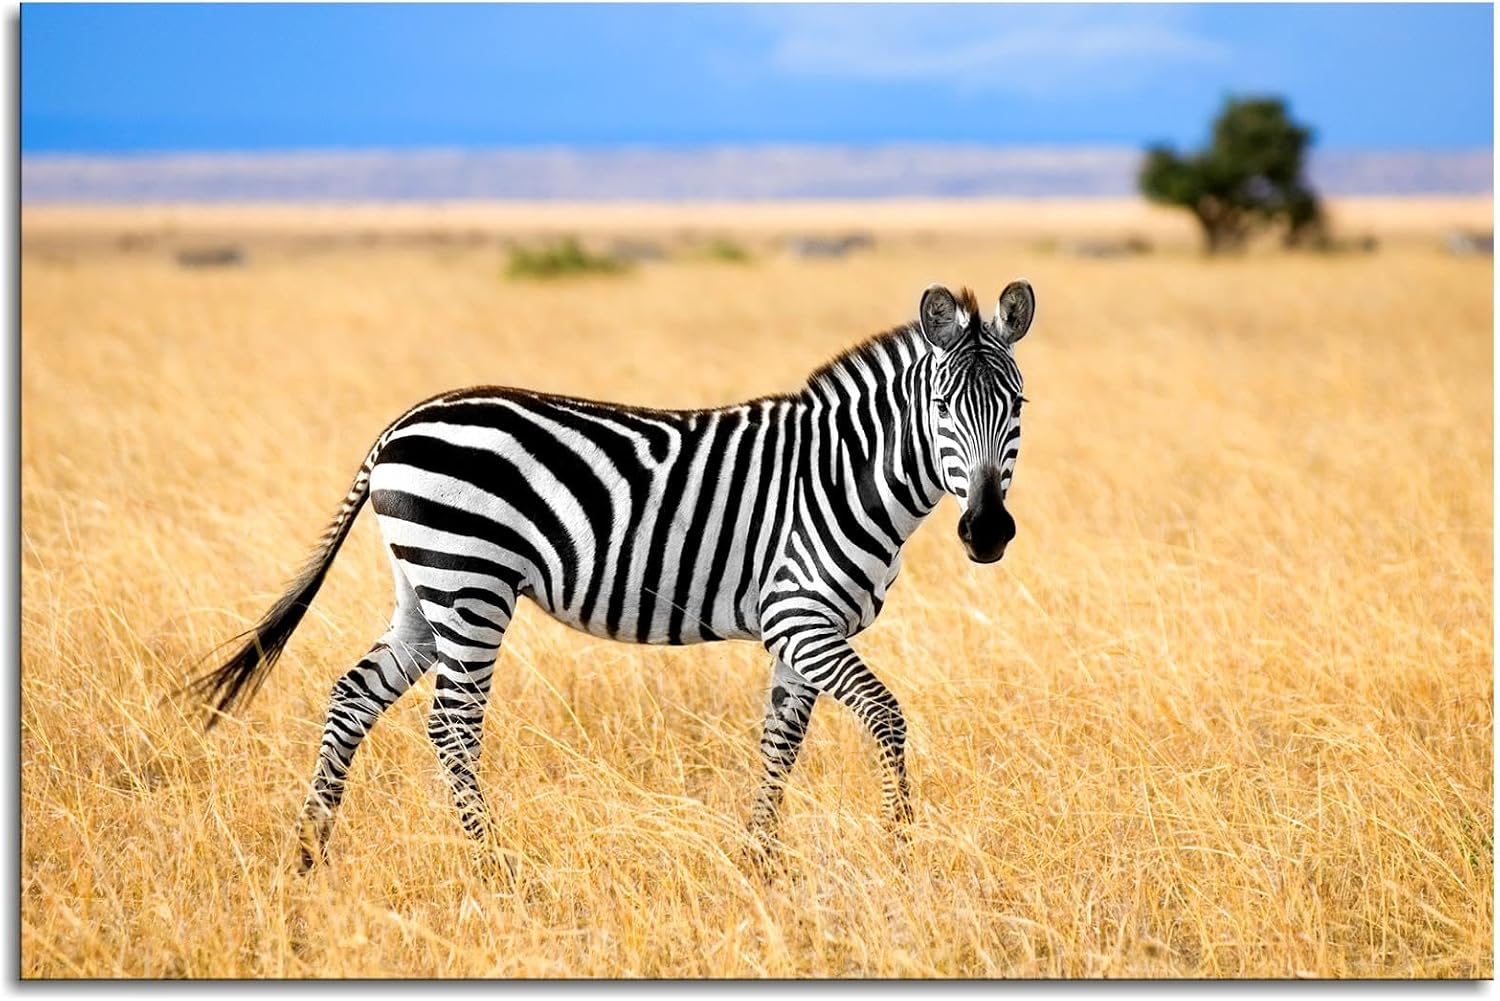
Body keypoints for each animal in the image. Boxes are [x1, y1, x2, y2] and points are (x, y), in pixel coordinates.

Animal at [191, 280, 1035, 874]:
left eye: (1019, 404)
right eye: (942, 405)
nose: (988, 531)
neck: (843, 472)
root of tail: (400, 424)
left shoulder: (800, 634)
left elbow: (780, 742)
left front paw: (759, 862)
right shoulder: (800, 616)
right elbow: (887, 717)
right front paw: (903, 848)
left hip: (424, 590)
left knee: (352, 696)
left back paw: (310, 851)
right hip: (471, 582)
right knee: (452, 725)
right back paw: (494, 867)